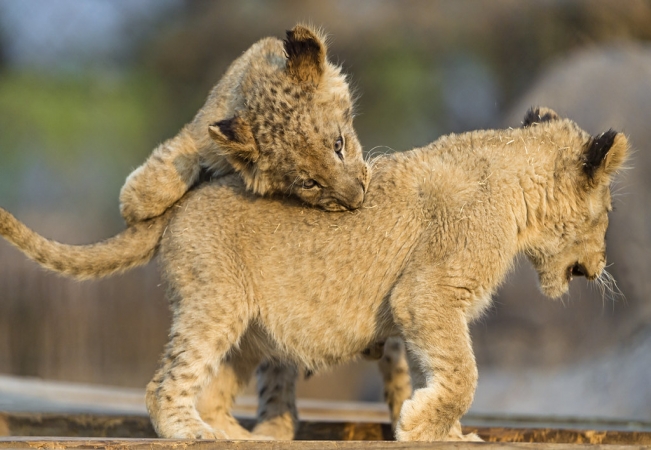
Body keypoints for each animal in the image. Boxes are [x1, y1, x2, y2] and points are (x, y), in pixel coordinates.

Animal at [0, 108, 628, 441]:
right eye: (606, 215)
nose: (601, 266)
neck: (518, 196)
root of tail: (181, 204)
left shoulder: (421, 309)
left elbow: (440, 371)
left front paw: (447, 432)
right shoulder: (426, 294)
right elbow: (464, 373)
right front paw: (428, 428)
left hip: (246, 327)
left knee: (214, 390)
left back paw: (240, 438)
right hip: (217, 303)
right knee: (166, 384)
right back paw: (190, 433)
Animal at [119, 24, 369, 226]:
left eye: (339, 145)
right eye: (308, 183)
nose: (357, 199)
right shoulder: (202, 129)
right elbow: (175, 163)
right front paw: (133, 201)